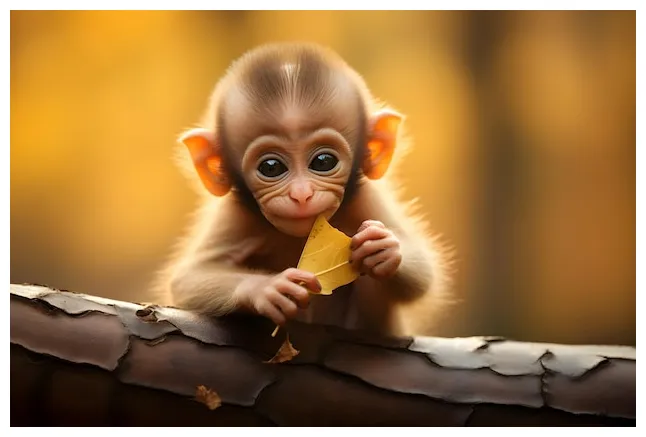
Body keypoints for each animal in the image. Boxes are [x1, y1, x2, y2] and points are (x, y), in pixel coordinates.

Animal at [155, 42, 452, 337]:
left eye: (323, 162)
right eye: (272, 167)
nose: (301, 194)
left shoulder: (367, 198)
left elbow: (423, 273)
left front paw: (382, 247)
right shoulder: (234, 215)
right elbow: (189, 278)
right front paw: (265, 289)